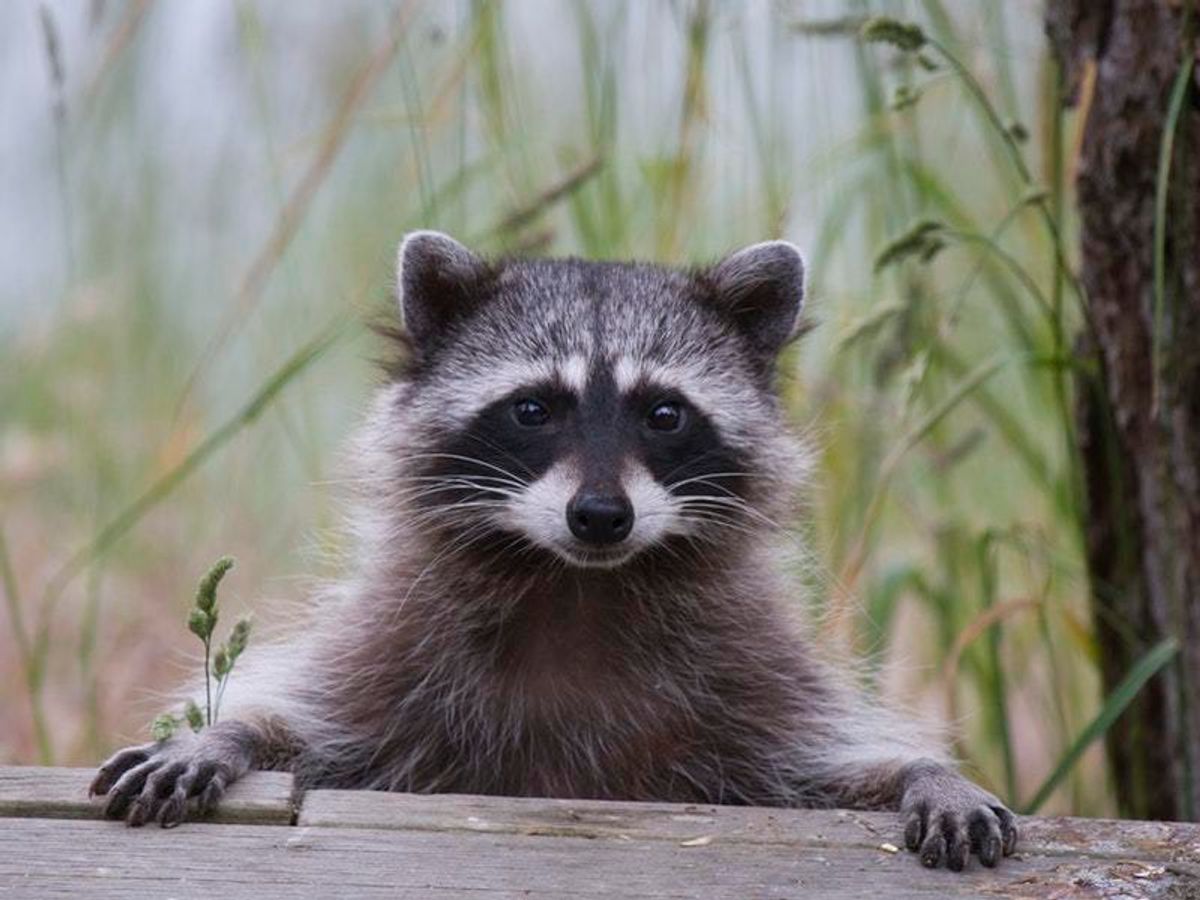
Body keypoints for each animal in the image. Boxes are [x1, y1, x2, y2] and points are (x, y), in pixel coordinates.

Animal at [91, 232, 1017, 870]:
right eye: (533, 409)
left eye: (664, 414)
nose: (601, 516)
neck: (577, 586)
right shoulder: (396, 650)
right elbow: (314, 724)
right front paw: (225, 734)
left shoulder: (750, 678)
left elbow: (822, 766)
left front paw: (925, 771)